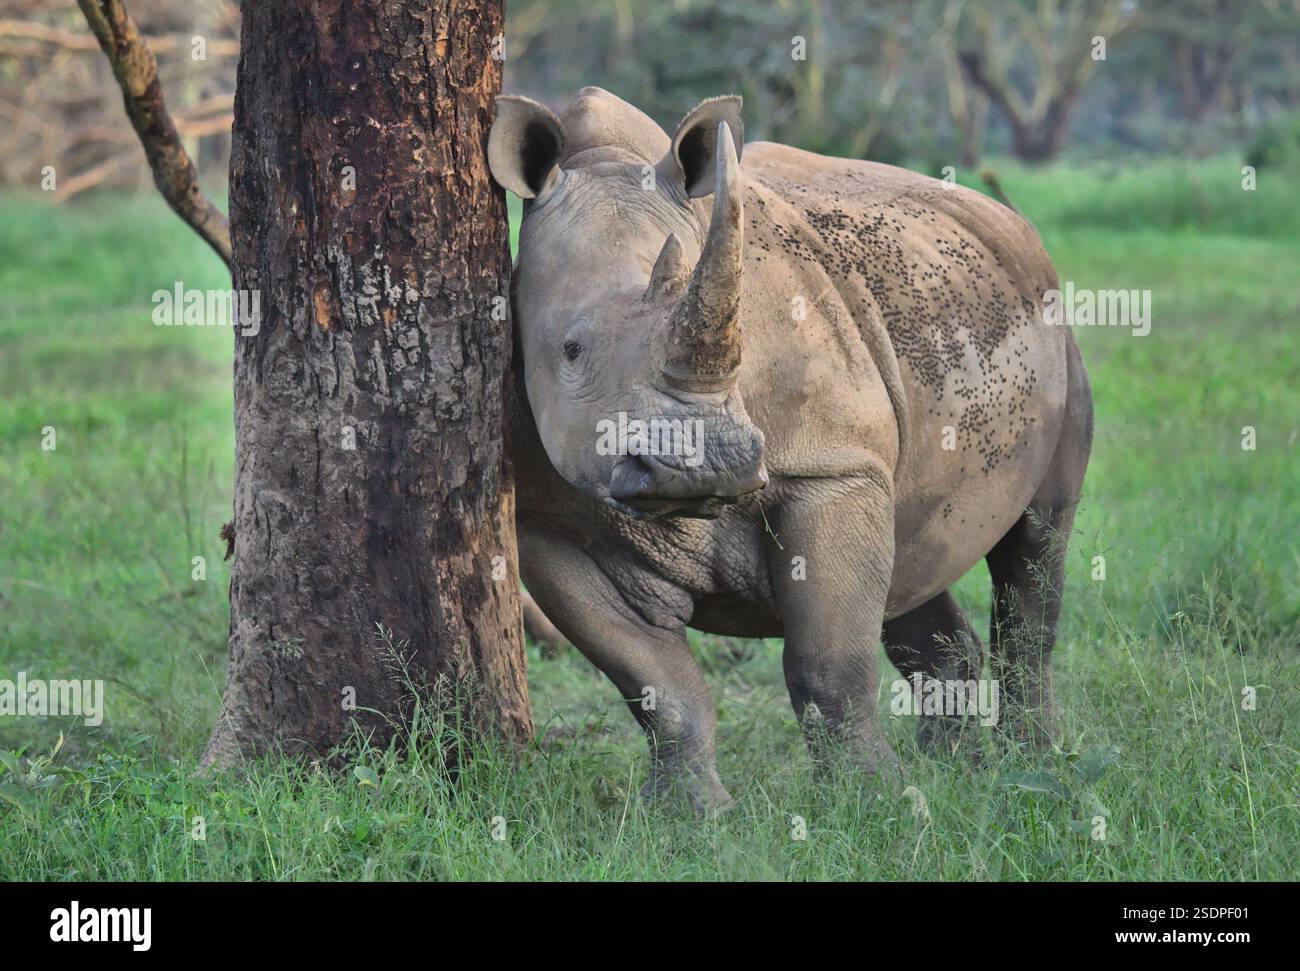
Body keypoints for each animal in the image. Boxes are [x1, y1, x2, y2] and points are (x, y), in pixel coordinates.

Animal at [488, 87, 1093, 811]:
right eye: (572, 350)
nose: (706, 466)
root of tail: (1007, 221)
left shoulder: (831, 466)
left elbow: (828, 662)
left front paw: (871, 804)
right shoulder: (550, 520)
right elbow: (657, 685)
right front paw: (693, 815)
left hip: (1055, 334)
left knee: (1036, 544)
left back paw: (1032, 763)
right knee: (916, 554)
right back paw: (956, 768)